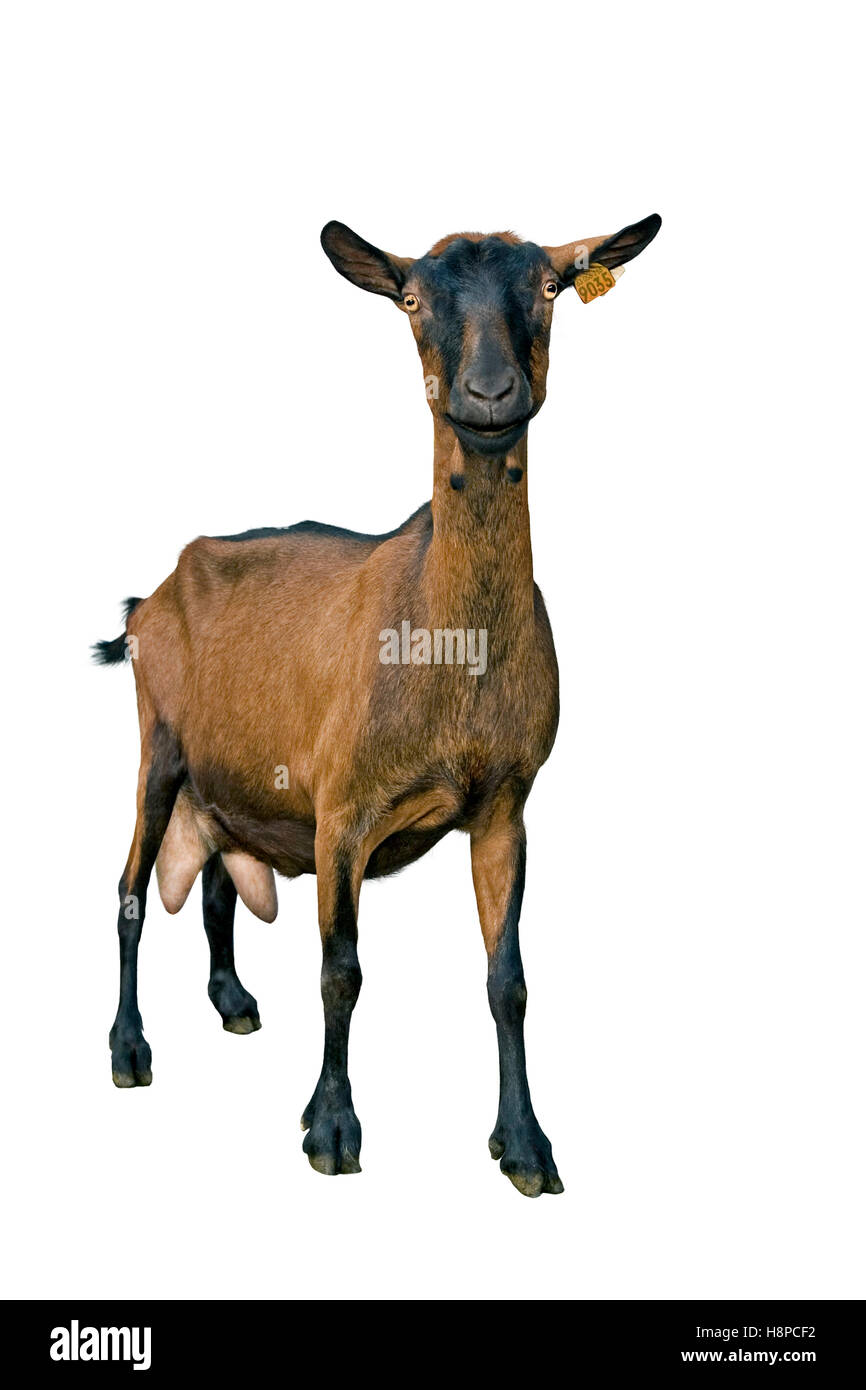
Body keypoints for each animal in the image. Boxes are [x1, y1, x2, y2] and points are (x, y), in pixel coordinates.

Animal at [95, 213, 661, 1196]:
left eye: (550, 287)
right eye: (411, 298)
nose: (489, 393)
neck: (447, 649)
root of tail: (148, 598)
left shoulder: (505, 804)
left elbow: (508, 979)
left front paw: (525, 1145)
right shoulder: (341, 809)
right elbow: (341, 972)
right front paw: (331, 1129)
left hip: (229, 775)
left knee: (215, 884)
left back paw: (233, 1001)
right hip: (159, 742)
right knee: (130, 891)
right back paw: (129, 1050)